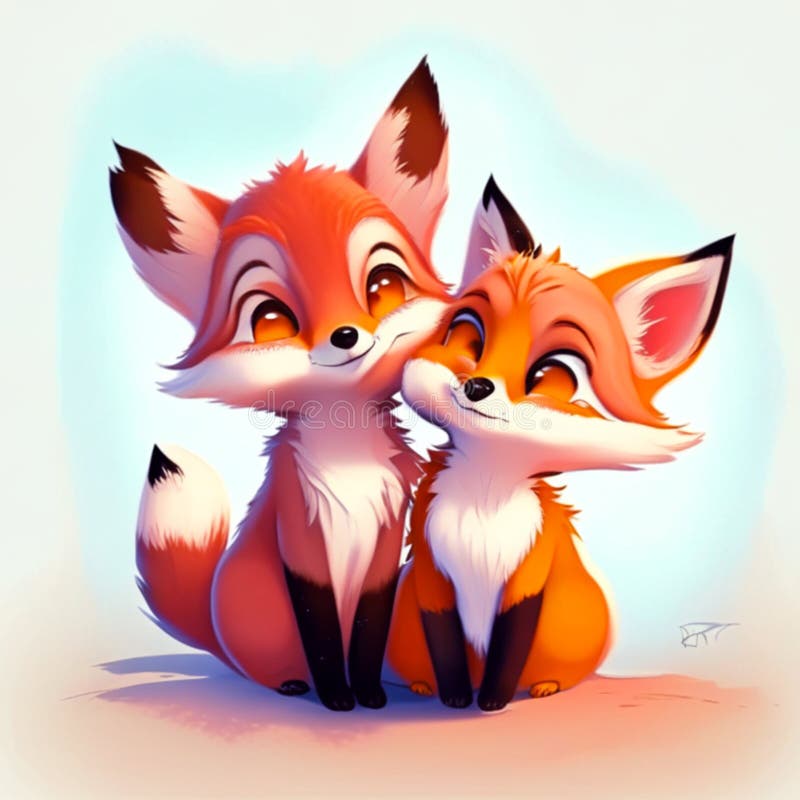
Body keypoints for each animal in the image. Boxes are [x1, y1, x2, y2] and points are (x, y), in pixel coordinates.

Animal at [110, 59, 451, 710]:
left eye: (383, 285)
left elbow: (366, 631)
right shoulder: (300, 537)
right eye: (270, 318)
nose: (346, 336)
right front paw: (337, 698)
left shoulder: (383, 548)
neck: (347, 463)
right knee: (270, 667)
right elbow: (321, 632)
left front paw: (369, 695)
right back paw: (293, 686)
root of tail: (213, 622)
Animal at [387, 176, 733, 711]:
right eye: (469, 338)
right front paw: (456, 699)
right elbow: (444, 644)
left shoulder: (533, 571)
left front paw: (492, 703)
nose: (477, 386)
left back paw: (545, 687)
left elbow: (511, 643)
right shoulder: (427, 569)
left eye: (552, 375)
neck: (483, 496)